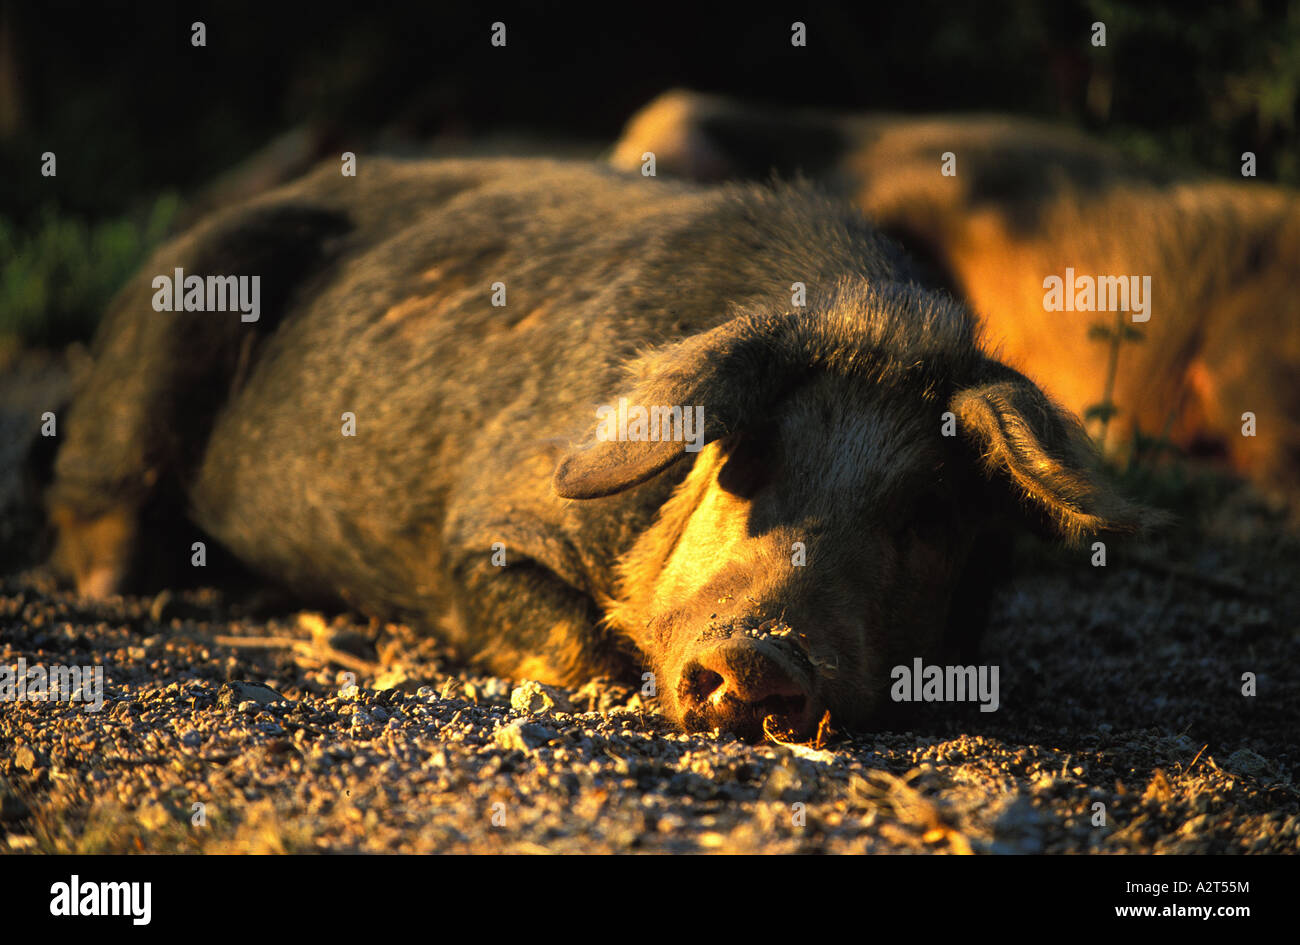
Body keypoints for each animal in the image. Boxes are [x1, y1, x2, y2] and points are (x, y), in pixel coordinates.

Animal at [47, 157, 1149, 738]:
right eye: (743, 462)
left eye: (925, 518)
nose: (758, 656)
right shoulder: (486, 523)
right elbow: (578, 636)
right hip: (161, 336)